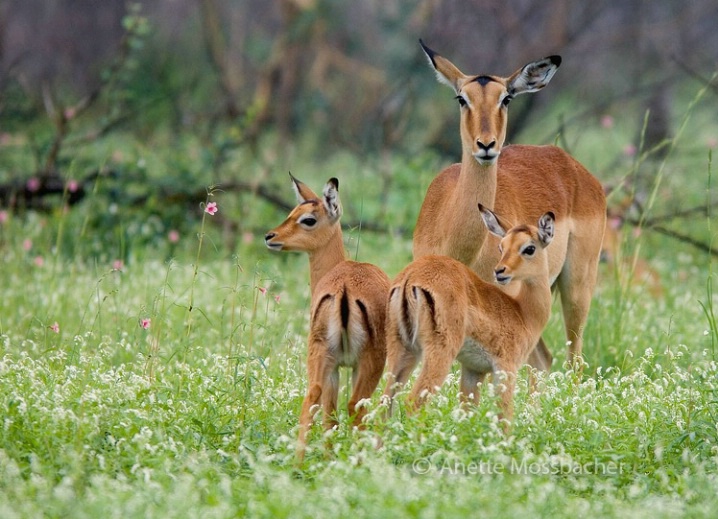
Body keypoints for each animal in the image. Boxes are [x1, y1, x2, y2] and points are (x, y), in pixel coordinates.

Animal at [264, 174, 390, 462]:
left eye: (307, 219)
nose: (270, 236)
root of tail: (344, 290)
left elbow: (328, 414)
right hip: (368, 362)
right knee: (355, 404)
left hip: (321, 356)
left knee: (312, 399)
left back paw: (299, 464)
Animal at [383, 205, 555, 424]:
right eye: (501, 247)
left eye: (529, 248)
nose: (500, 271)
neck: (523, 312)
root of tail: (410, 277)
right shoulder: (506, 368)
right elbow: (505, 416)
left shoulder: (473, 369)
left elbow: (467, 411)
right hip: (439, 353)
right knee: (413, 401)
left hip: (402, 350)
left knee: (382, 402)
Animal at [413, 40, 606, 369]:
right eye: (461, 98)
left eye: (506, 98)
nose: (486, 145)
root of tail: (572, 165)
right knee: (543, 359)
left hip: (577, 285)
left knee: (574, 359)